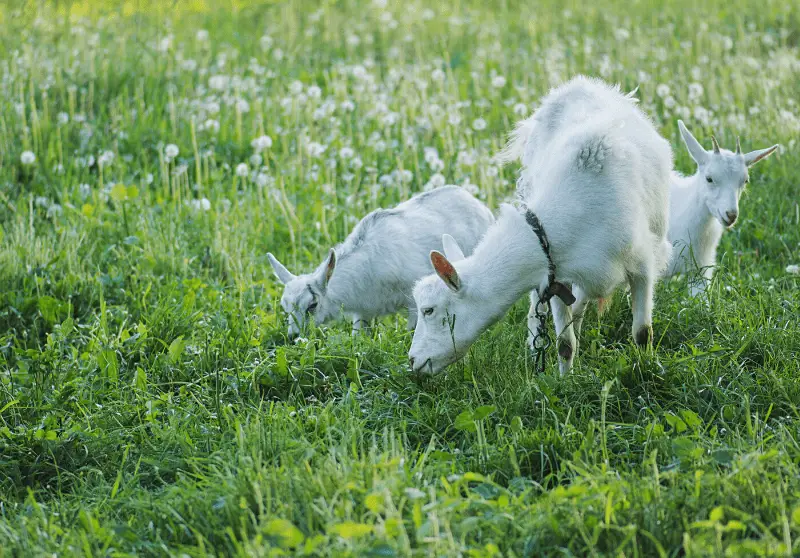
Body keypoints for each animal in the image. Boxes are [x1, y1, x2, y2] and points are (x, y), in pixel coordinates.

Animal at [407, 76, 673, 375]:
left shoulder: (643, 265)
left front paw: (647, 366)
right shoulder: (555, 276)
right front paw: (566, 379)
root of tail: (580, 84)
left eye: (428, 310)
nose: (412, 361)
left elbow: (642, 332)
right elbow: (564, 343)